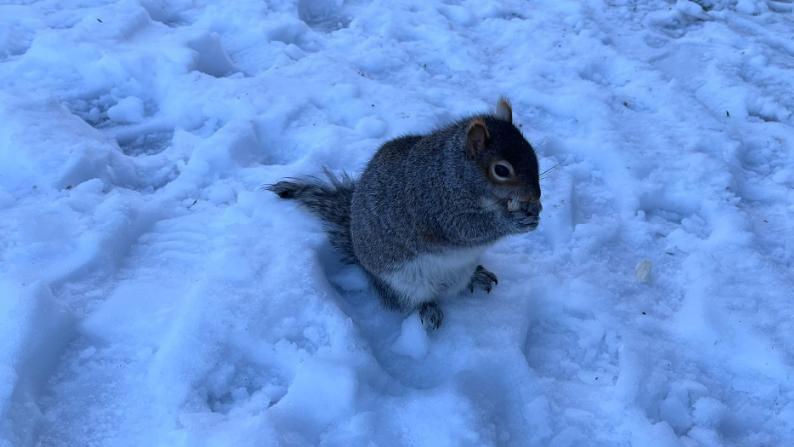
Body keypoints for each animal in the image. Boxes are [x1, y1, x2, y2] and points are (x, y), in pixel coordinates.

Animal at [268, 98, 542, 330]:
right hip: (405, 284)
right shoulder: (434, 206)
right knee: (412, 301)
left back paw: (477, 276)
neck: (453, 172)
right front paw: (511, 222)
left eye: (532, 152)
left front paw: (533, 211)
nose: (536, 195)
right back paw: (428, 310)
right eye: (501, 170)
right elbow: (467, 229)